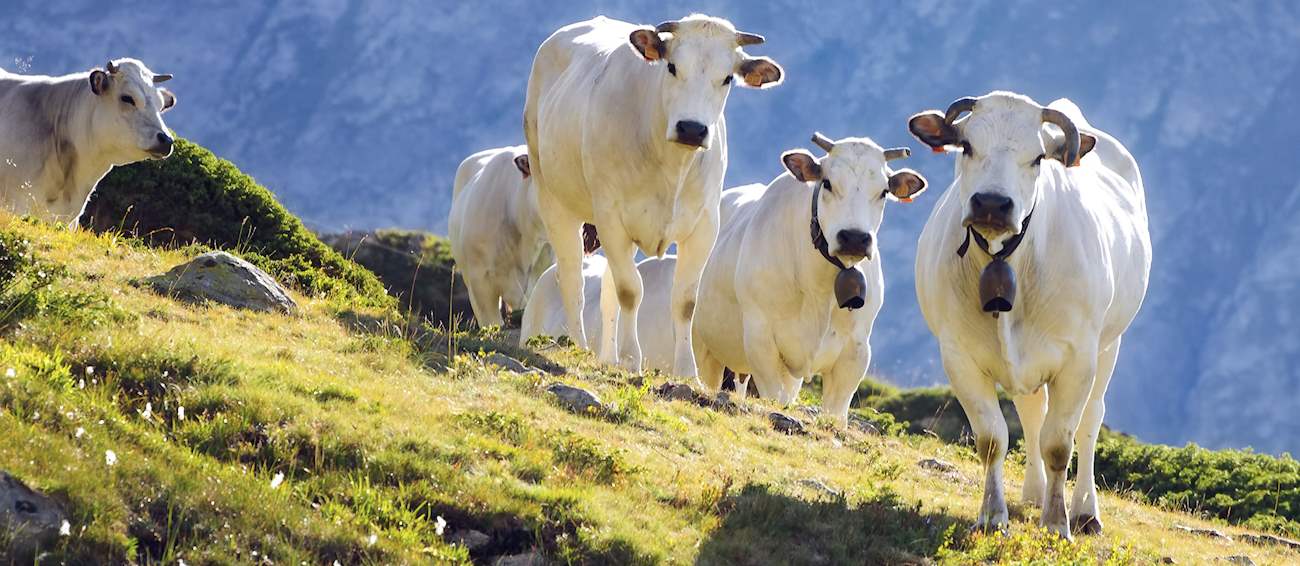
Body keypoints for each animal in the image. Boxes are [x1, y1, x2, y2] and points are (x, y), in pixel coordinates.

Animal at [692, 134, 928, 424]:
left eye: (884, 191)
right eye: (827, 182)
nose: (854, 237)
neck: (820, 288)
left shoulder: (856, 350)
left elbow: (835, 414)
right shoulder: (760, 339)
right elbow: (775, 398)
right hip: (703, 343)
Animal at [908, 91, 1151, 539]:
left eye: (1038, 157)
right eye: (966, 146)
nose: (991, 203)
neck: (1004, 258)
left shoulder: (1078, 359)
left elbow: (1059, 443)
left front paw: (1057, 524)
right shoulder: (959, 357)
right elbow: (993, 439)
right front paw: (992, 515)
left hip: (1109, 344)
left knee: (1090, 420)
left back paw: (1085, 511)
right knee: (1032, 414)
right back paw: (1035, 494)